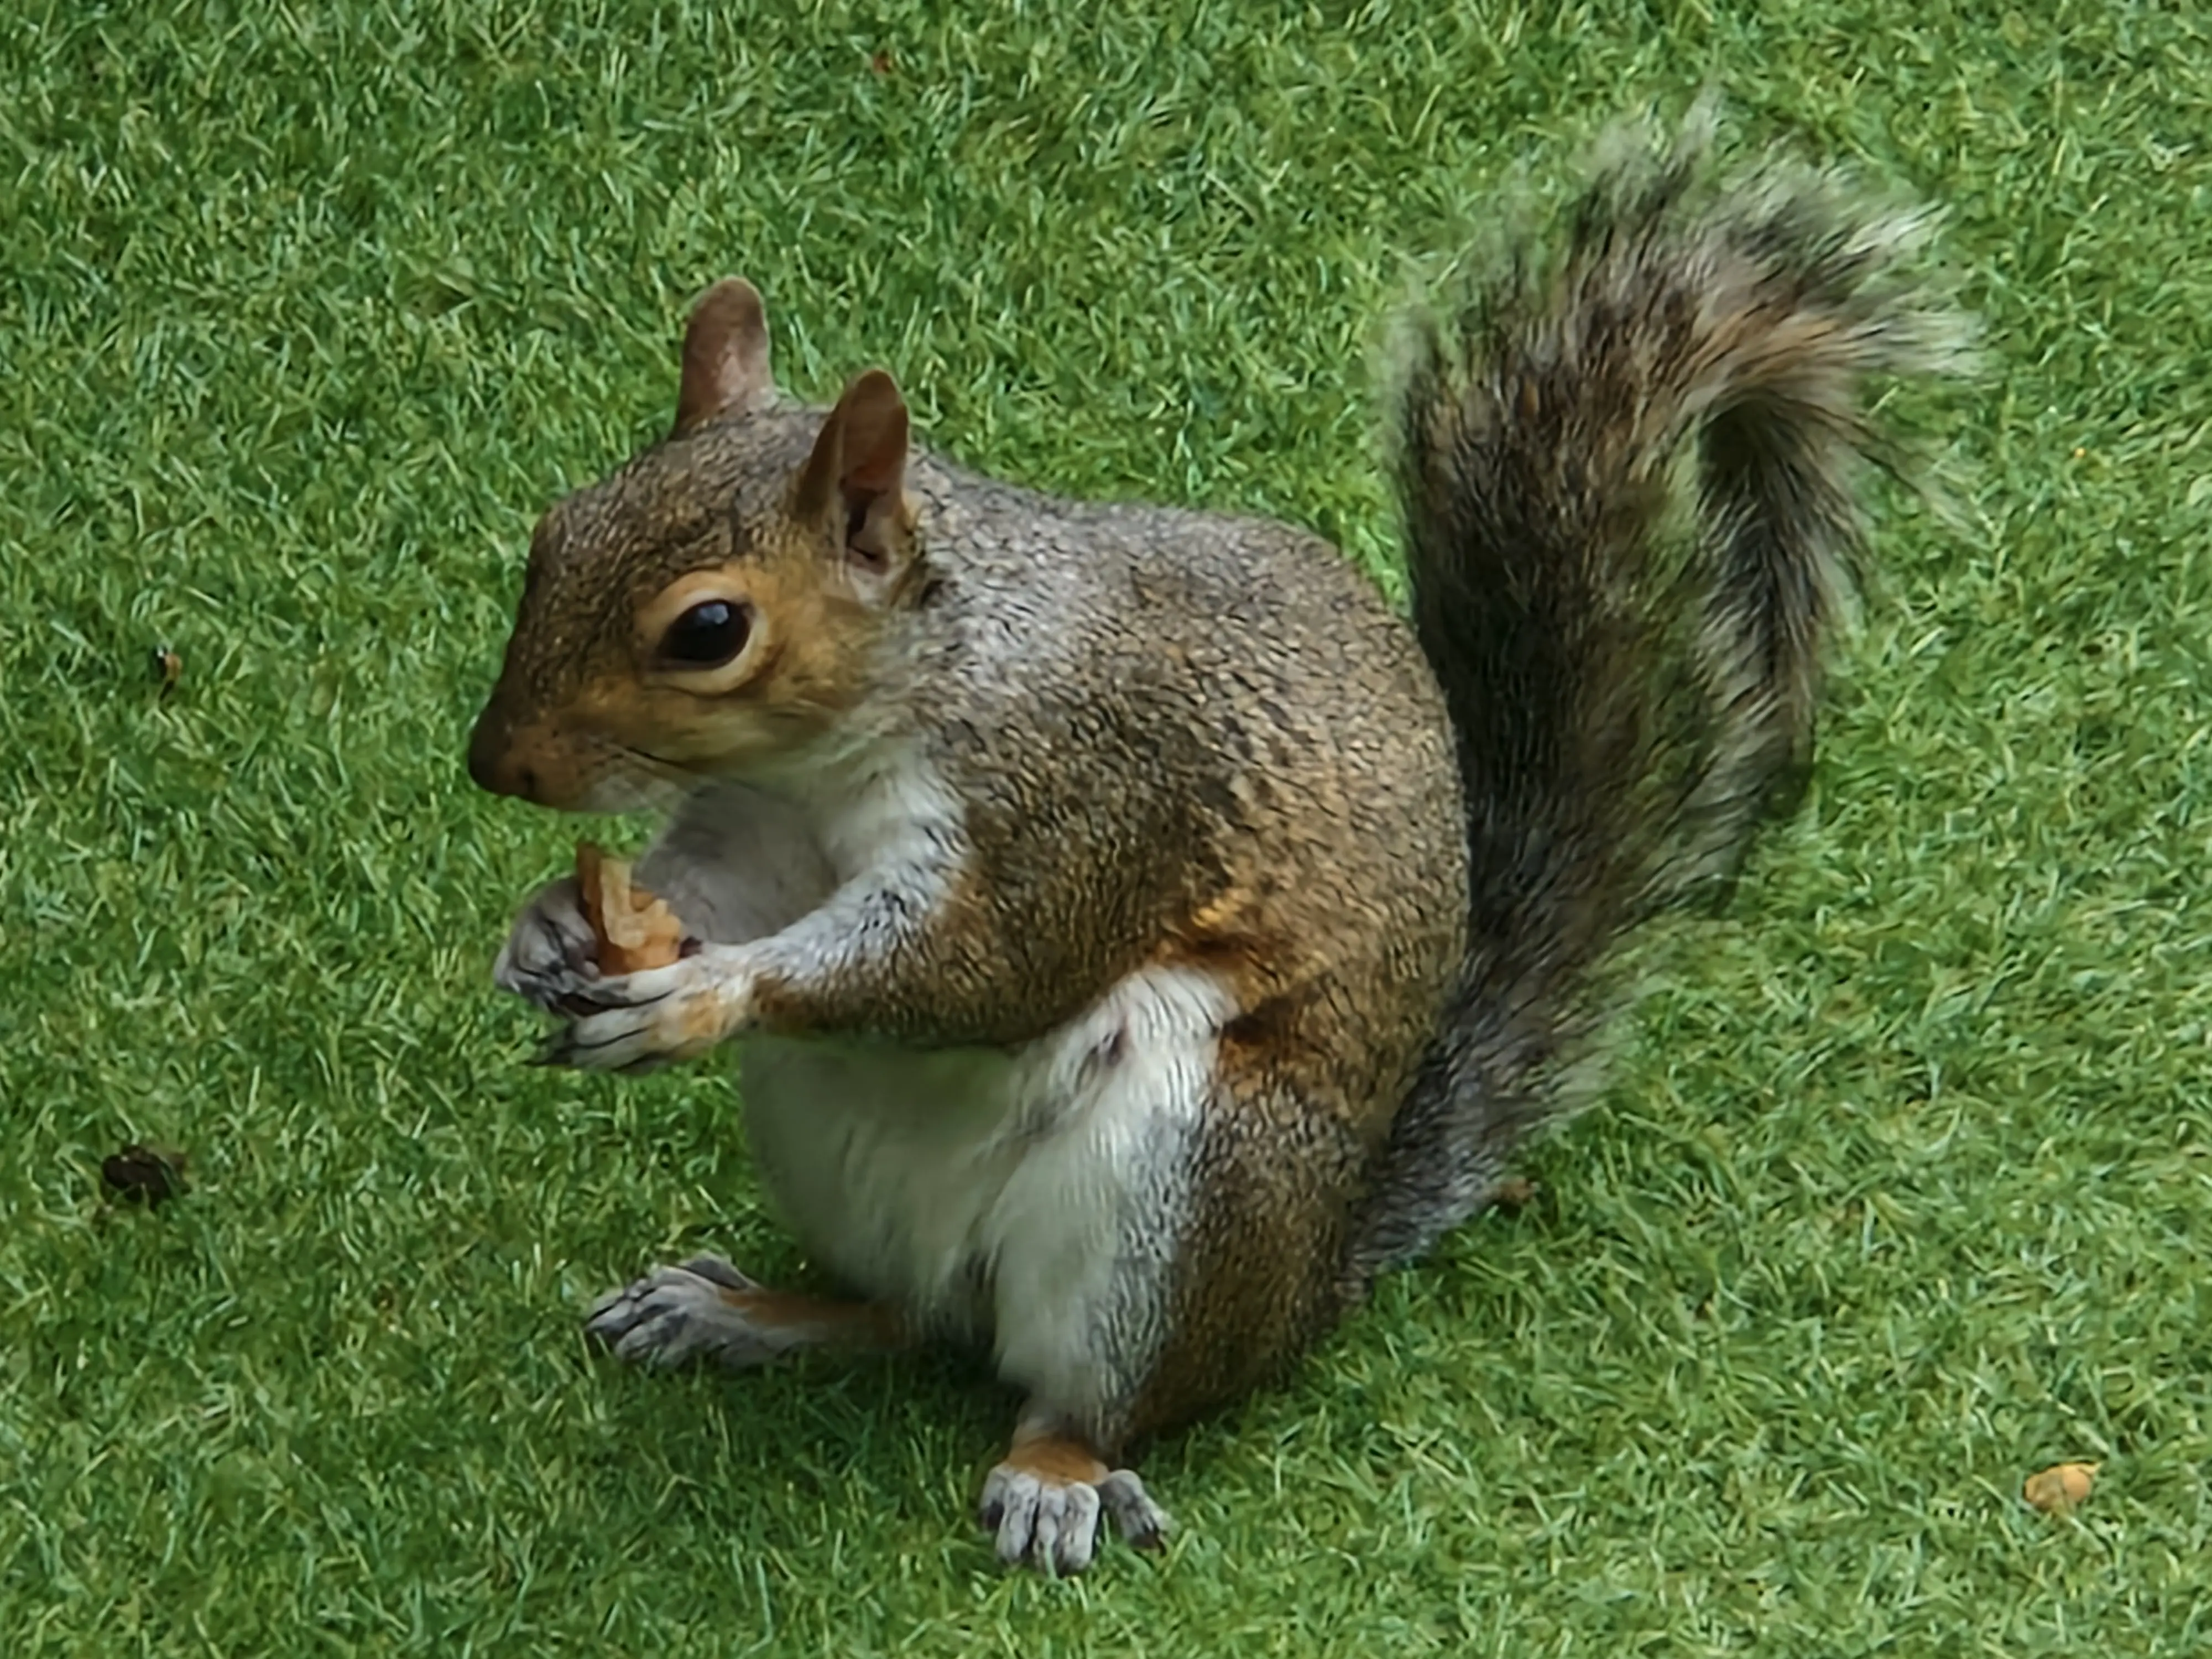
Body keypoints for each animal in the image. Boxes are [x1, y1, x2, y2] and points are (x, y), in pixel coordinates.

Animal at [466, 113, 1964, 1574]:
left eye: (709, 630)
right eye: (553, 529)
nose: (495, 765)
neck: (885, 706)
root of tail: (1307, 1284)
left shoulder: (1088, 797)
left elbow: (985, 964)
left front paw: (702, 993)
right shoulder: (763, 821)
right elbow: (722, 890)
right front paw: (549, 928)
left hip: (1183, 1185)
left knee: (1083, 1392)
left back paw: (1054, 1475)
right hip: (833, 1149)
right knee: (911, 1320)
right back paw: (747, 1315)